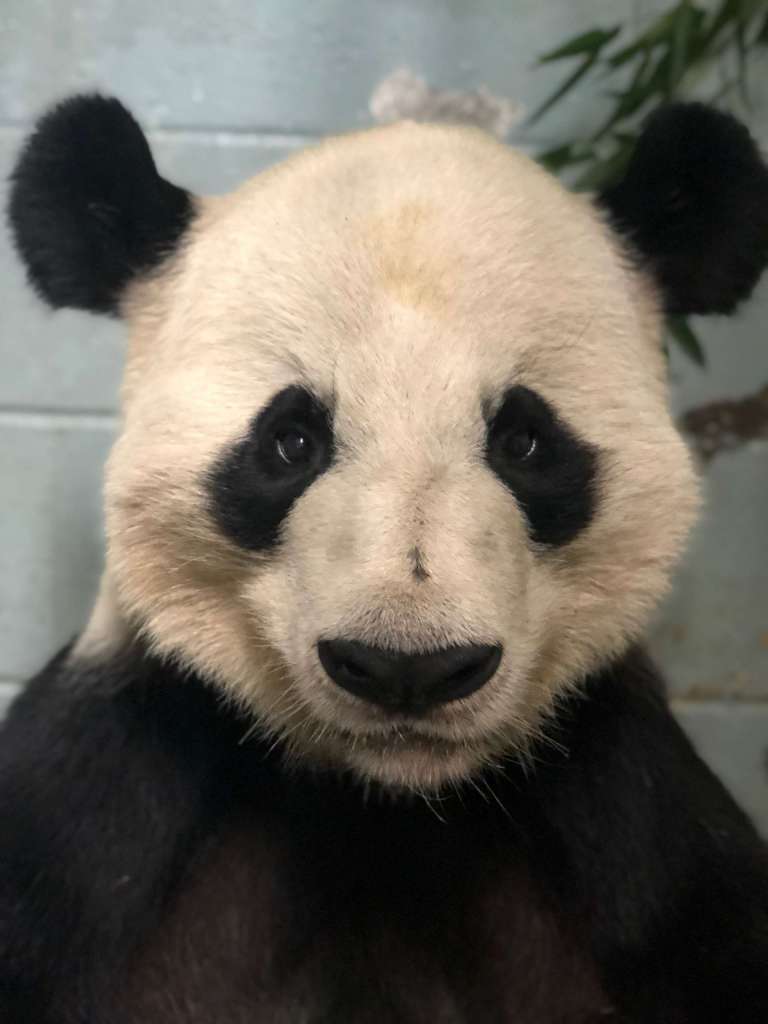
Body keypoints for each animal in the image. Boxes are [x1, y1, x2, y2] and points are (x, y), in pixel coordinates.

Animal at [2, 92, 768, 1024]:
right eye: (291, 441)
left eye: (525, 441)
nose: (410, 668)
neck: (383, 801)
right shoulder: (100, 816)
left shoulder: (635, 836)